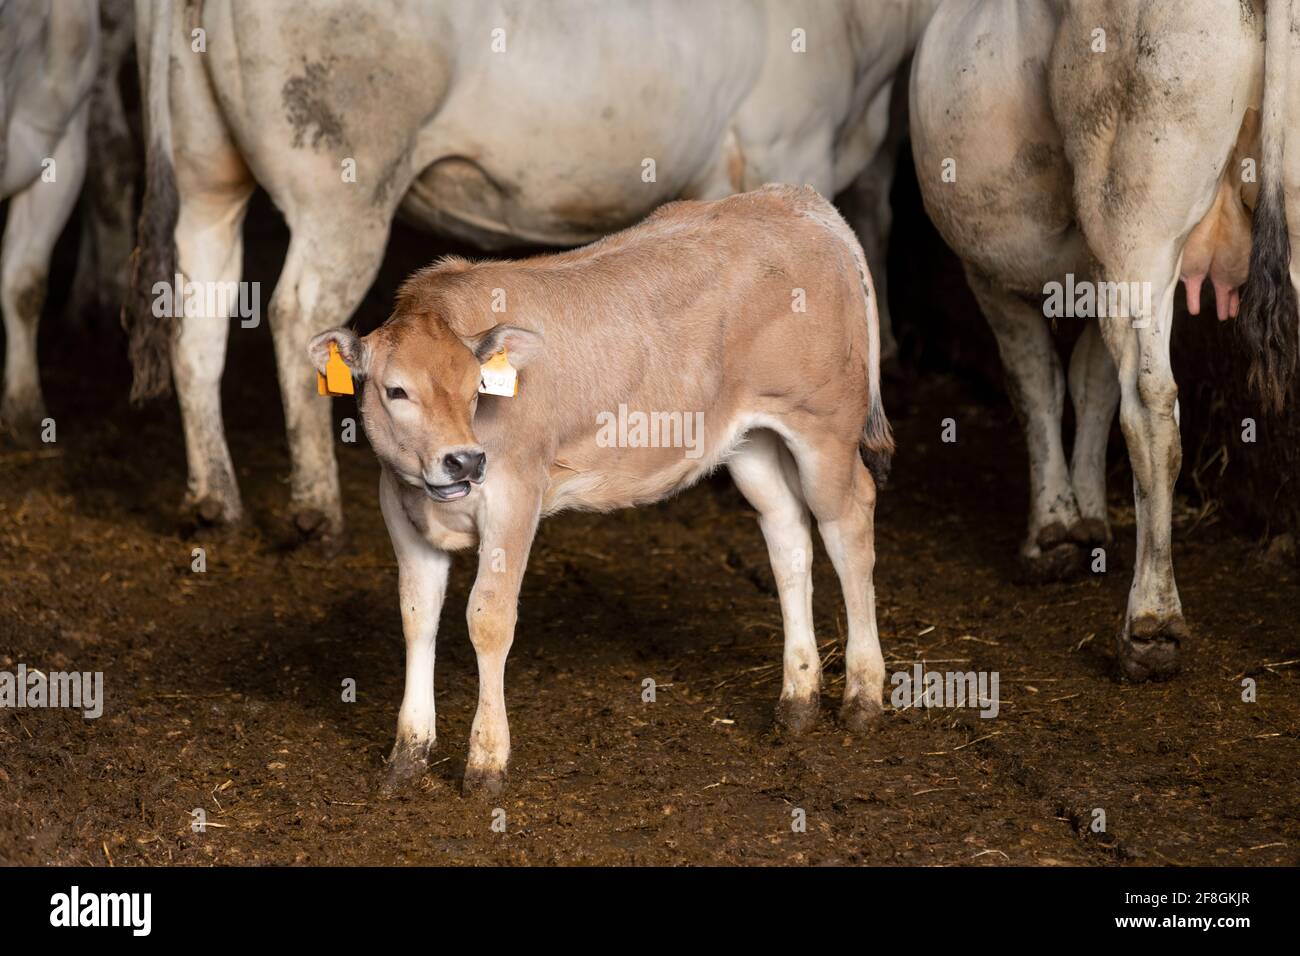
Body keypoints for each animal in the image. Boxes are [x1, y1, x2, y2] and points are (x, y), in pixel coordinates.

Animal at [125, 0, 940, 551]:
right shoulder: (786, 143)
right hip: (343, 179)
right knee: (298, 312)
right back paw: (316, 507)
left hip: (207, 173)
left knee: (197, 318)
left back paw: (212, 495)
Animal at [307, 184, 893, 793]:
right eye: (396, 391)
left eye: (475, 389)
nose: (464, 459)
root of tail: (797, 201)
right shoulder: (399, 507)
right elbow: (417, 616)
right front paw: (406, 755)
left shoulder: (516, 494)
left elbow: (488, 619)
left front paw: (487, 760)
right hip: (751, 439)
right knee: (787, 533)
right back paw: (798, 700)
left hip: (825, 425)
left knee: (849, 523)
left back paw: (862, 698)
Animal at [910, 0, 1296, 679]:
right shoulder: (1089, 275)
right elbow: (1091, 386)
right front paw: (1089, 520)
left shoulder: (988, 270)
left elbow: (1035, 383)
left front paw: (1053, 531)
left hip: (1134, 211)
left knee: (1151, 408)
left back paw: (1151, 622)